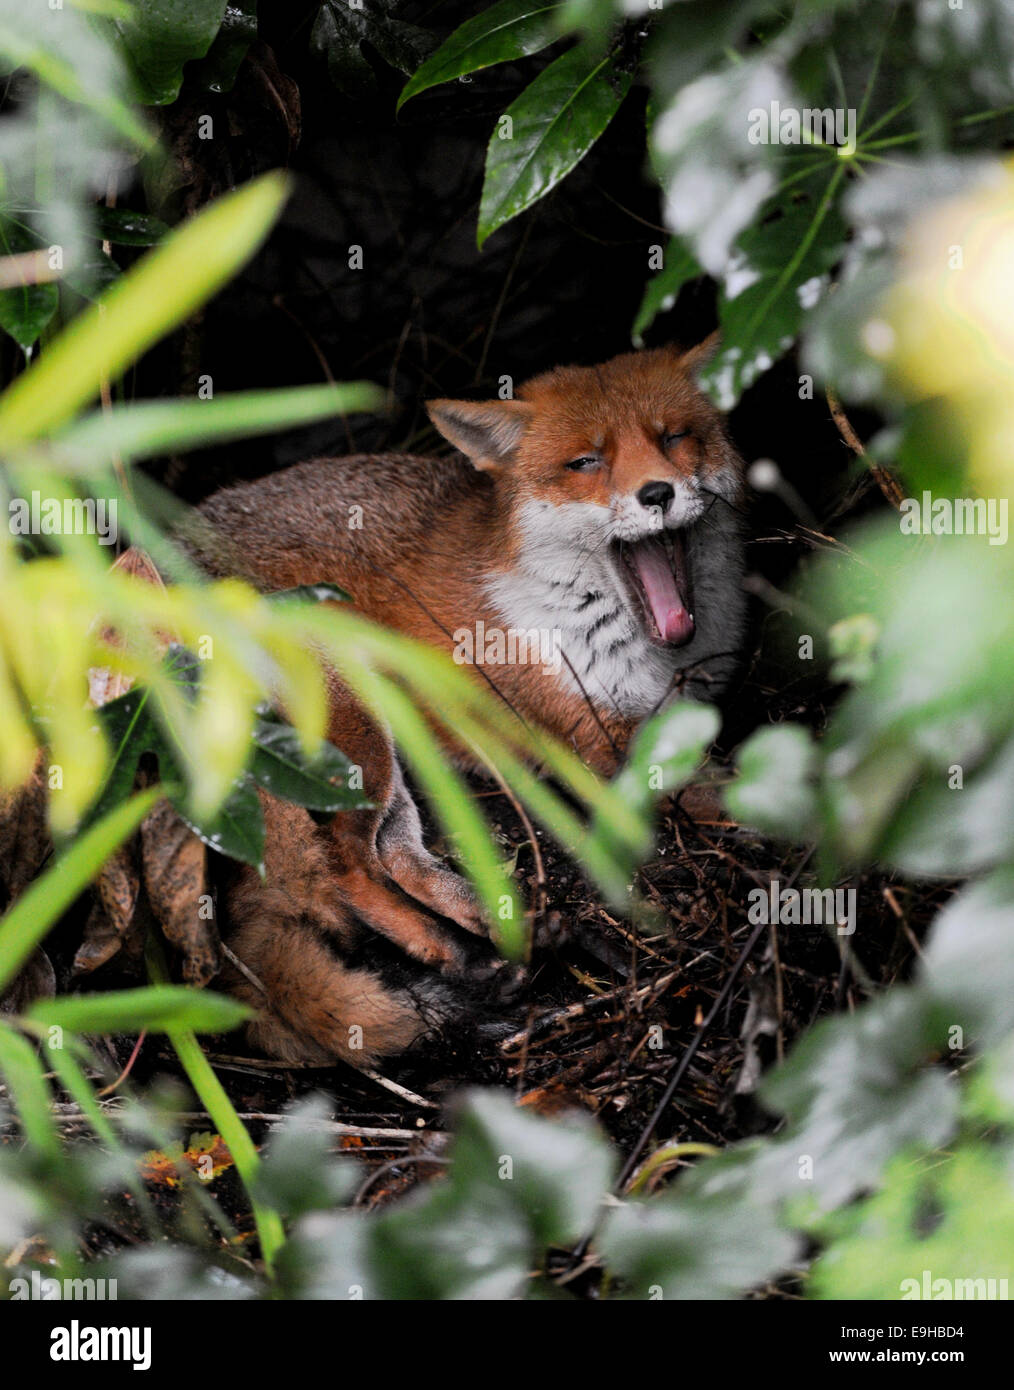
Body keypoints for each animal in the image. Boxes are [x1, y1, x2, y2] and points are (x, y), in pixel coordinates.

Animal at [186, 341, 747, 1066]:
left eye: (674, 437)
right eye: (586, 463)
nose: (658, 493)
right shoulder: (606, 745)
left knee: (395, 853)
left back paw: (500, 935)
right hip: (358, 732)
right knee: (348, 868)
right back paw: (462, 957)